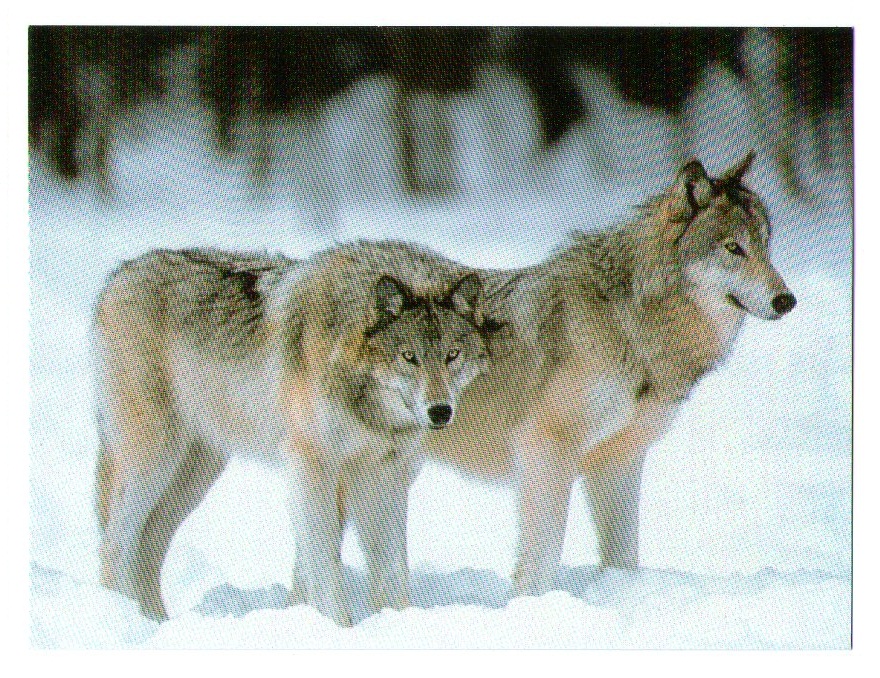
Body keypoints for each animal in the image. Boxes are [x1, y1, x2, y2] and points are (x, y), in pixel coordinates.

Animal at [93, 241, 492, 626]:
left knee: (147, 547)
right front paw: (339, 628)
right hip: (156, 460)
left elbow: (392, 569)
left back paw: (157, 624)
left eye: (452, 355)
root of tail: (118, 275)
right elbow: (324, 565)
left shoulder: (383, 474)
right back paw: (127, 623)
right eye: (409, 357)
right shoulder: (312, 466)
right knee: (116, 545)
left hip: (197, 472)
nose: (440, 411)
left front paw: (398, 623)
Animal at [423, 152, 797, 595]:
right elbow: (542, 559)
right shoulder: (546, 450)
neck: (629, 325)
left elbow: (624, 557)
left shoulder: (619, 460)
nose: (787, 300)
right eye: (733, 248)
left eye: (765, 247)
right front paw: (531, 604)